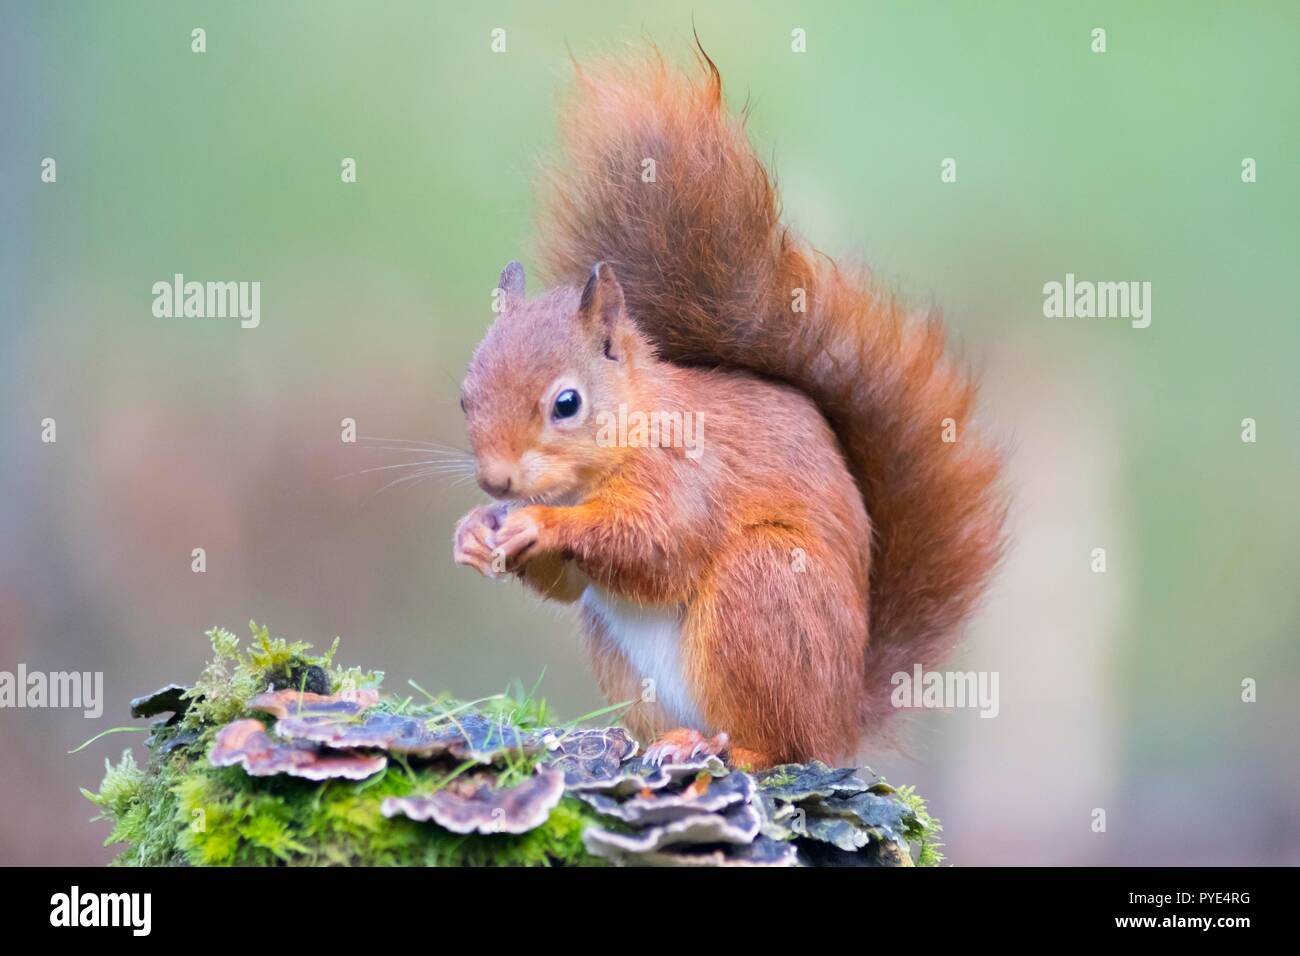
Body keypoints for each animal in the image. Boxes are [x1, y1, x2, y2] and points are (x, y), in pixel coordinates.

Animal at [452, 47, 1005, 770]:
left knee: (778, 745)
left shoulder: (687, 472)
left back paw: (722, 748)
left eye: (566, 403)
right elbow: (567, 585)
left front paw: (539, 524)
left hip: (763, 591)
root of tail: (841, 721)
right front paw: (473, 532)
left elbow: (657, 543)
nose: (496, 482)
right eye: (464, 396)